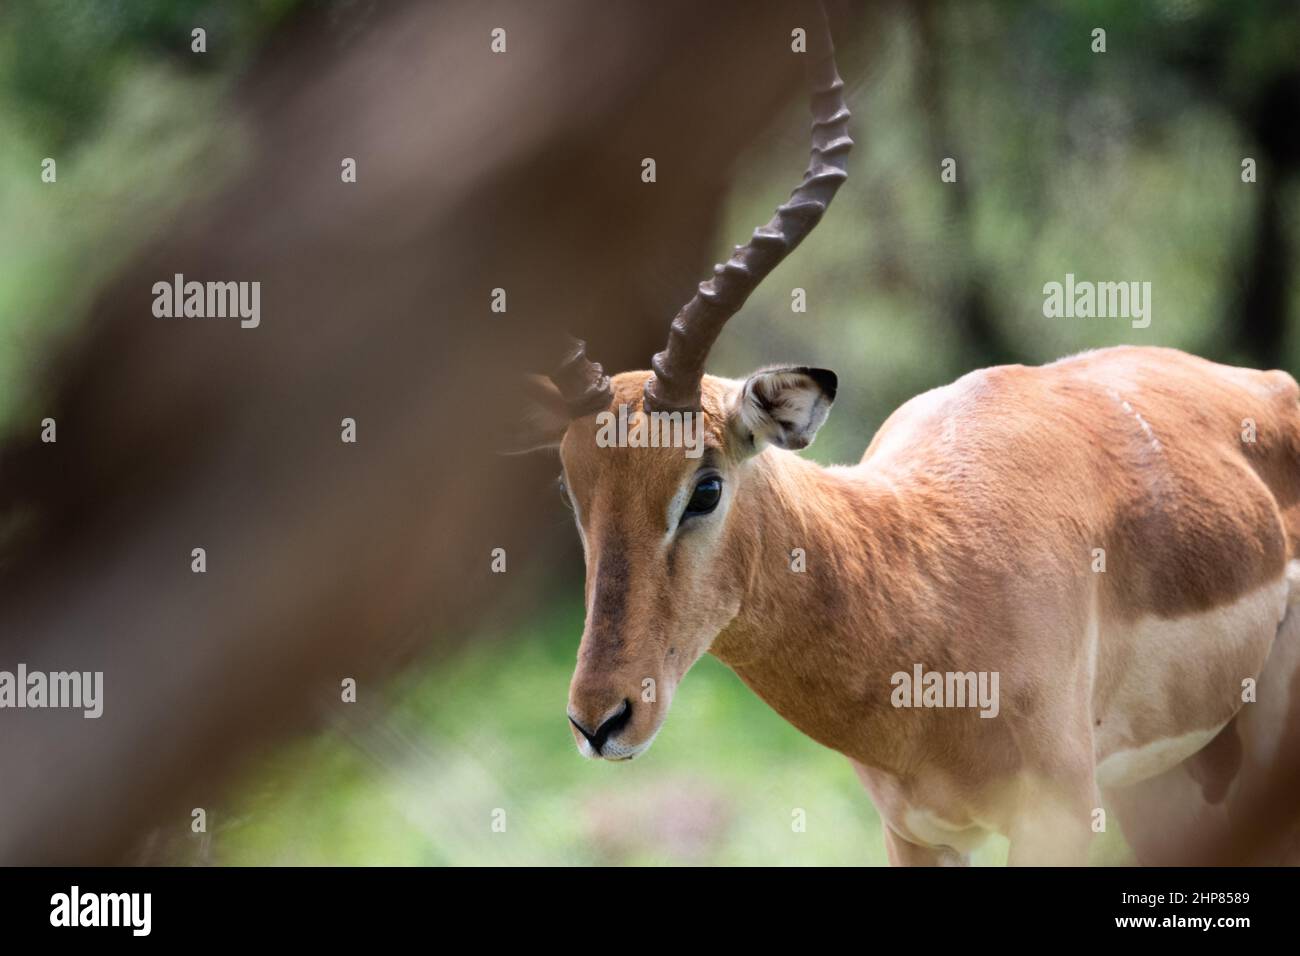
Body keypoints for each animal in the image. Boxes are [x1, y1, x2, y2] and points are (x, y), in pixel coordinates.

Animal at [520, 5, 1300, 865]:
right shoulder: (915, 832)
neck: (920, 576)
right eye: (571, 490)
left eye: (706, 486)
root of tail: (1270, 387)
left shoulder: (1056, 817)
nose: (600, 719)